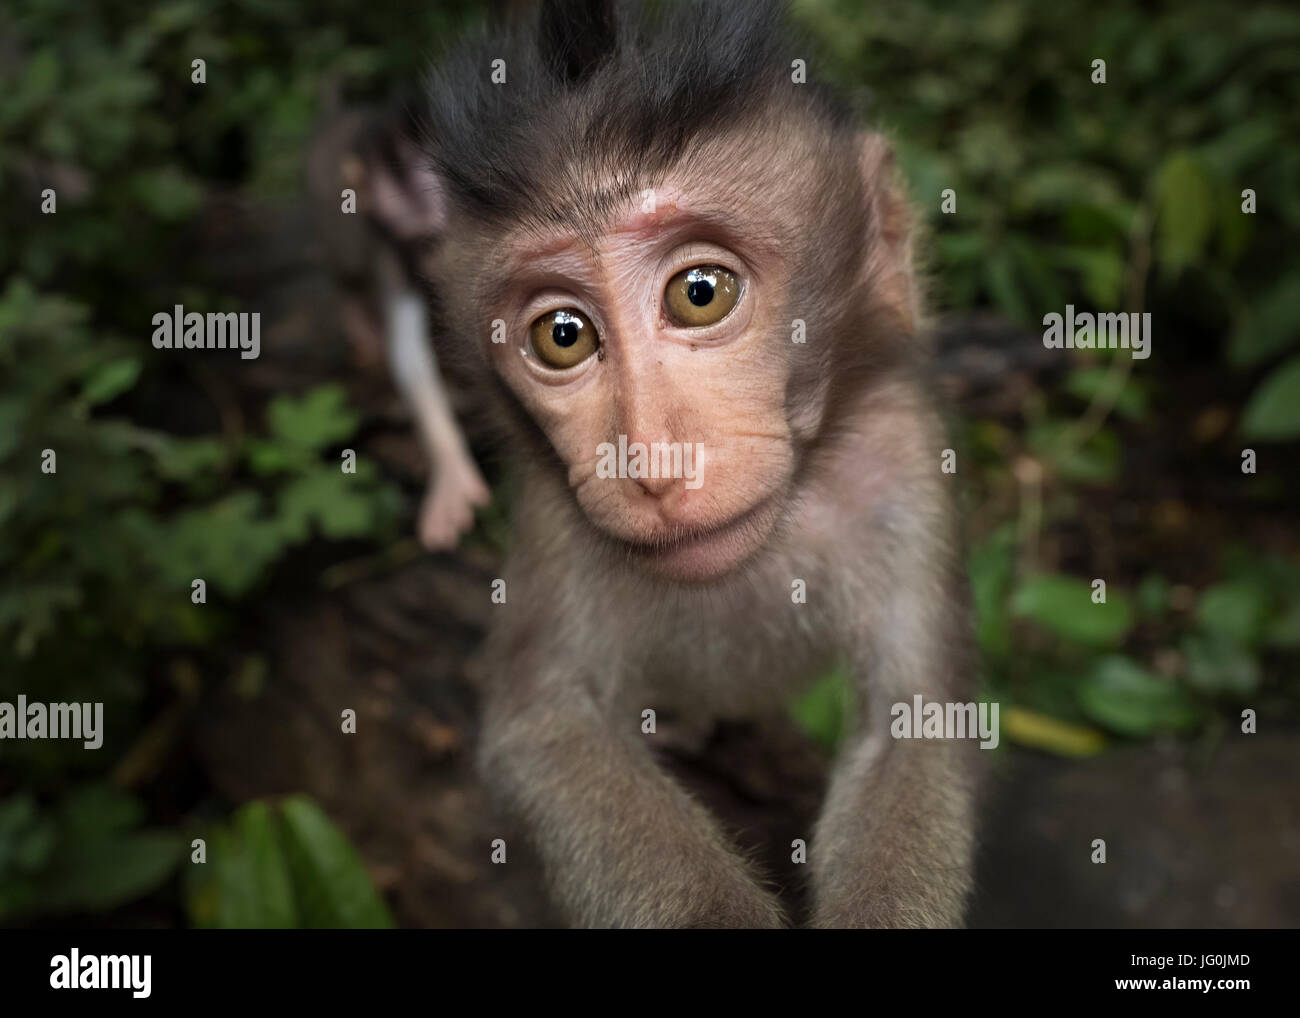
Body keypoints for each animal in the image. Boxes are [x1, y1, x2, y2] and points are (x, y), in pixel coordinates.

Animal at [378, 0, 982, 927]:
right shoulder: (559, 513)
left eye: (700, 293)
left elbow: (910, 720)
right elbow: (547, 723)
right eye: (563, 335)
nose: (654, 461)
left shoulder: (901, 454)